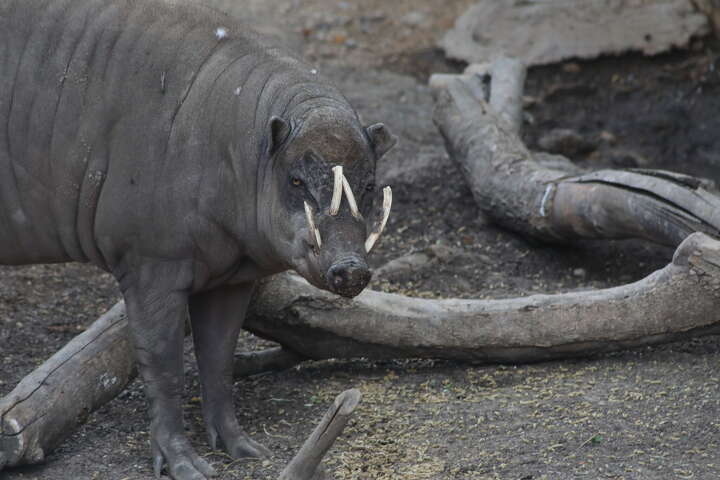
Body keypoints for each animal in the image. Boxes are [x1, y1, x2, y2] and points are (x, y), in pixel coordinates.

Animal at [0, 0, 396, 478]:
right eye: (296, 180)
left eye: (370, 185)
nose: (350, 268)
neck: (236, 151)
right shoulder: (150, 261)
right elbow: (164, 363)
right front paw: (187, 466)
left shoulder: (231, 276)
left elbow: (219, 358)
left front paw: (246, 450)